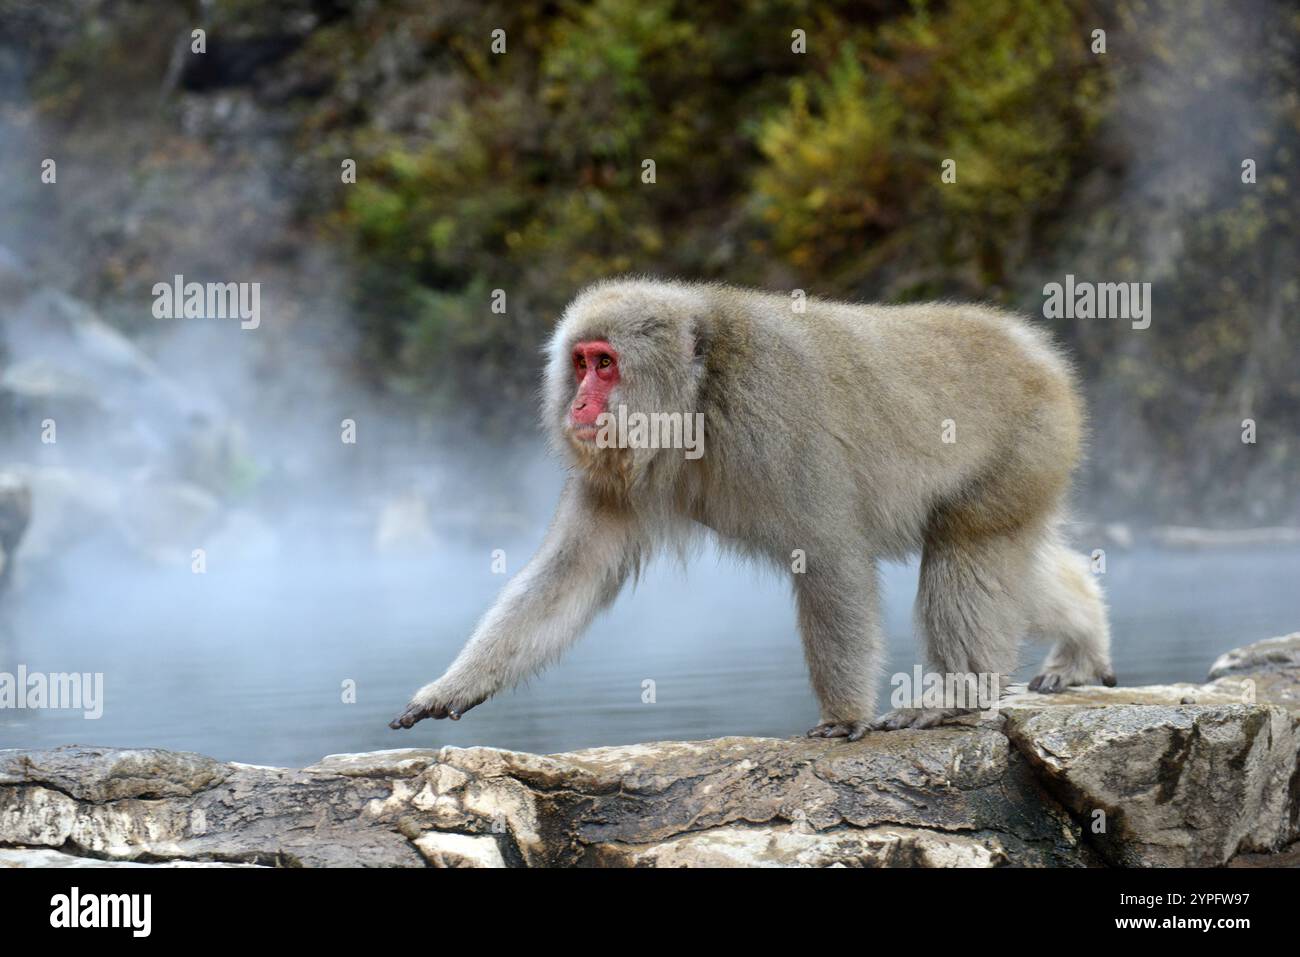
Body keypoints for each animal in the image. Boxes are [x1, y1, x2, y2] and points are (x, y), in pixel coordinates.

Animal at [390, 278, 1114, 739]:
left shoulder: (772, 419)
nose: (580, 404)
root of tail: (1032, 347)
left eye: (606, 364)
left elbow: (826, 554)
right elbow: (571, 575)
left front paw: (844, 716)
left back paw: (958, 695)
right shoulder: (618, 474)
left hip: (1030, 439)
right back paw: (1081, 640)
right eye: (580, 362)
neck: (697, 402)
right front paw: (454, 686)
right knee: (1000, 554)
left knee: (969, 543)